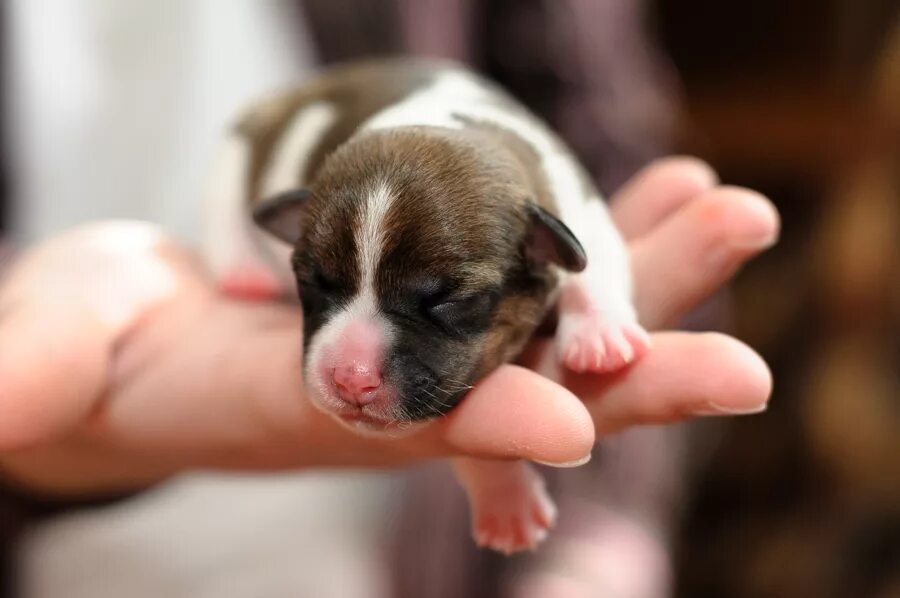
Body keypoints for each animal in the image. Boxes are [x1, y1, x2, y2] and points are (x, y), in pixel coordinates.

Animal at [203, 58, 652, 556]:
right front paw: (506, 500)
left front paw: (601, 335)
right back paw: (241, 269)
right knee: (223, 198)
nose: (352, 379)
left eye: (448, 300)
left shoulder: (577, 205)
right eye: (312, 282)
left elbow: (595, 262)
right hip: (243, 140)